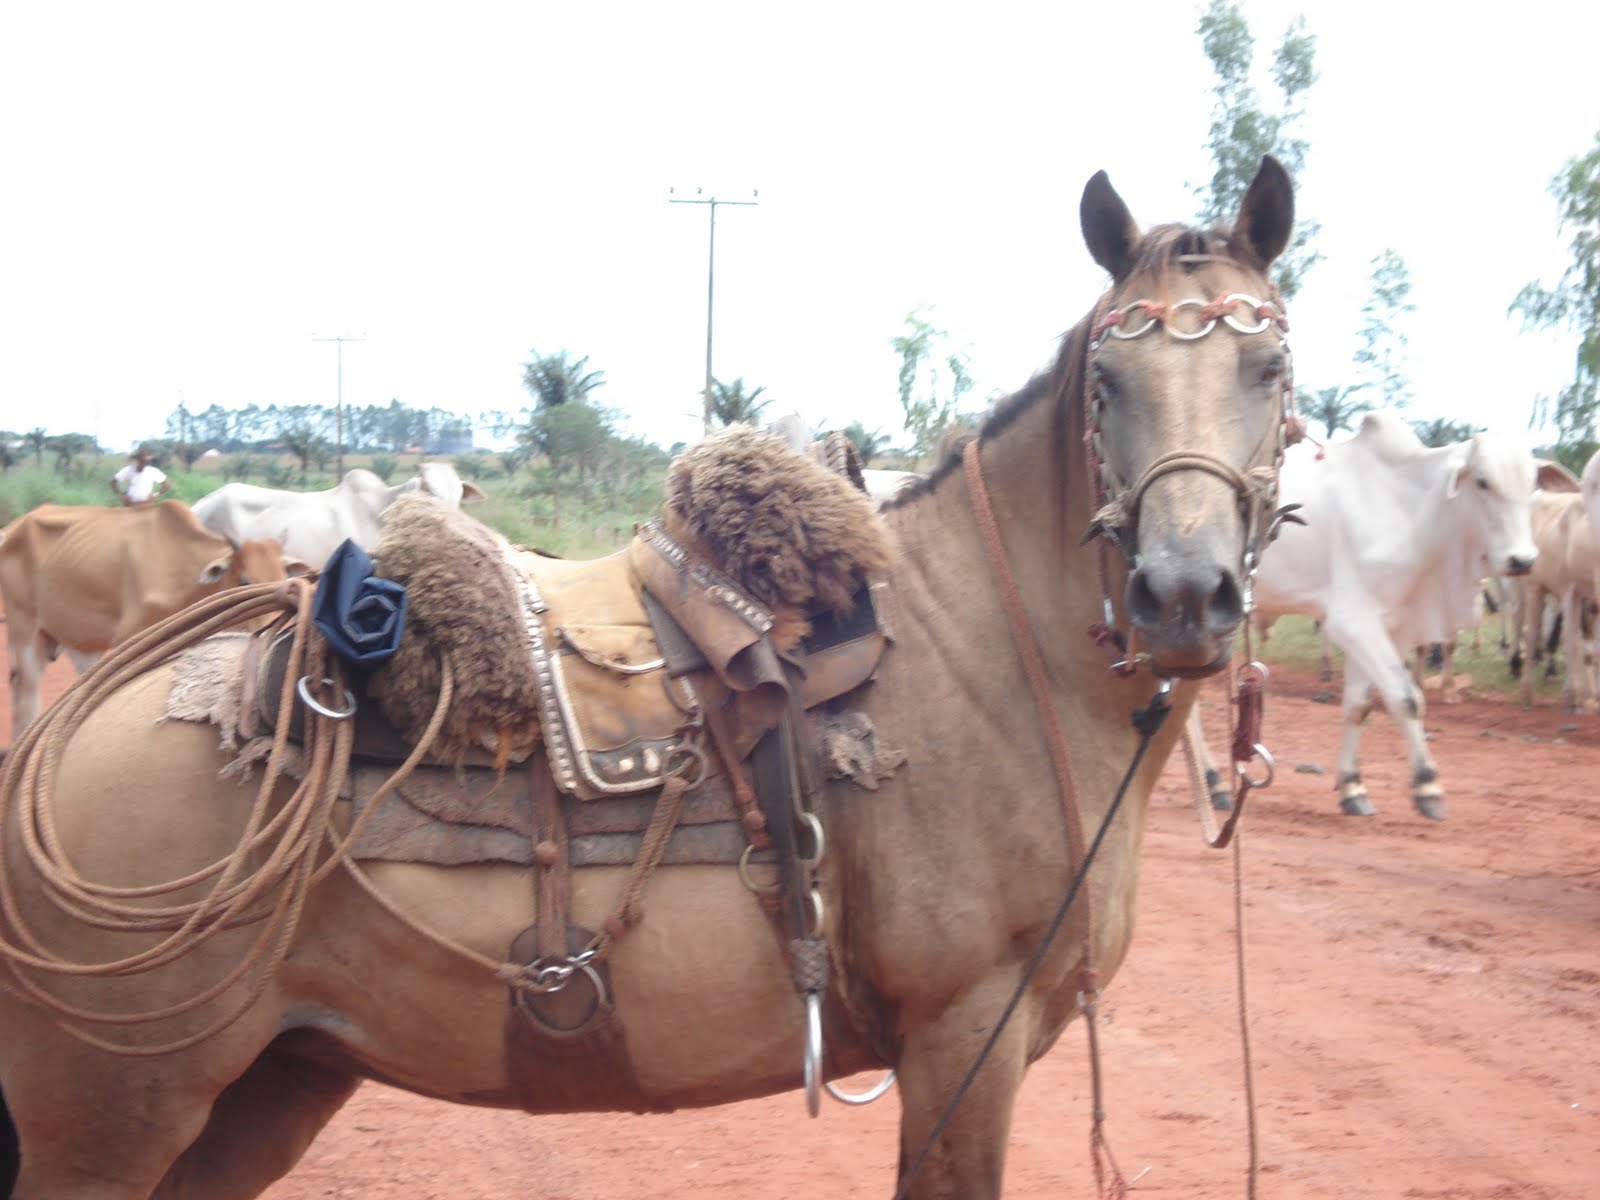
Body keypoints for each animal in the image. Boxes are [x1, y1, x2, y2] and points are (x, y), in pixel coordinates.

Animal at [0, 156, 1295, 1199]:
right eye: (1107, 386)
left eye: (1273, 367)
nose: (1183, 596)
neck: (988, 655)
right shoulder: (962, 1044)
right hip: (110, 1120)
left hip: (274, 1083)